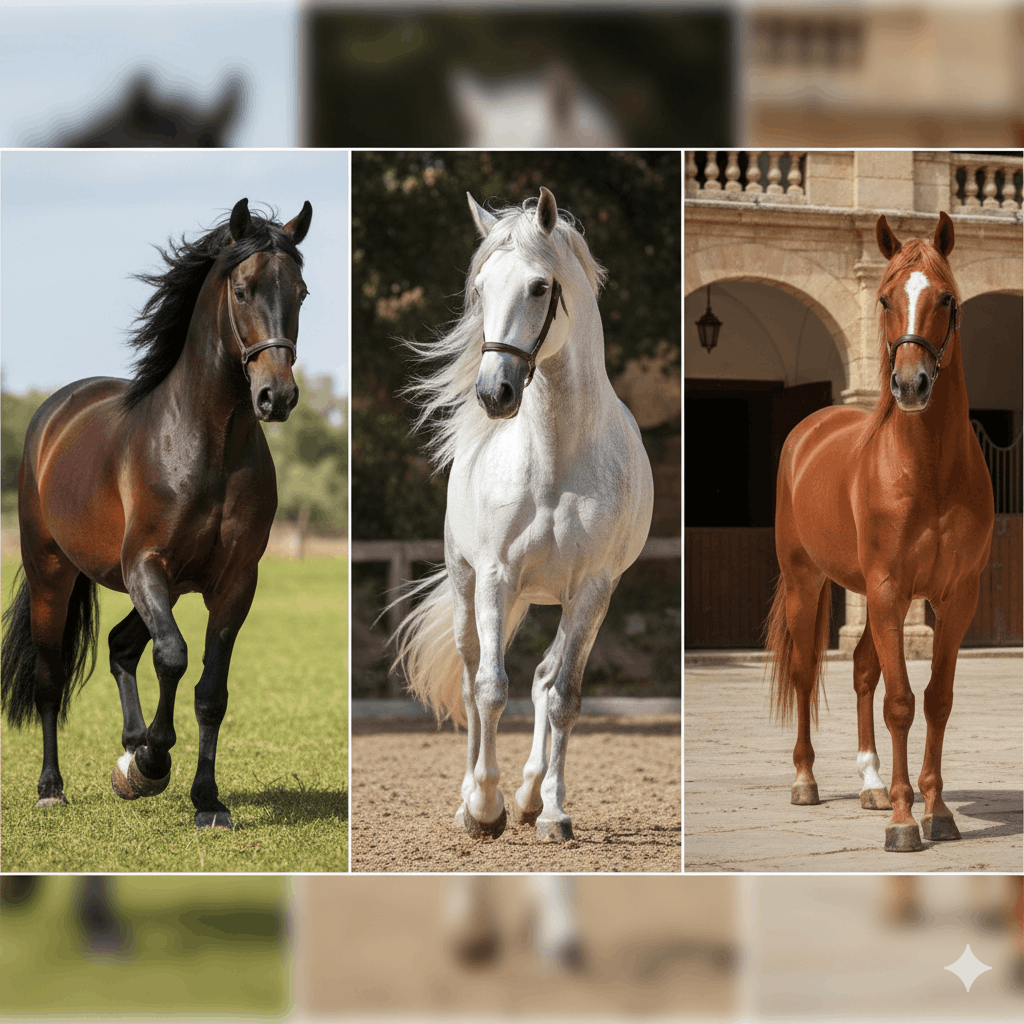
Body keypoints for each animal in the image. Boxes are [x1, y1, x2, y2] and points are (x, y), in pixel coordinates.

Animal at [1, 198, 312, 830]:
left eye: (301, 292)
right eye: (241, 290)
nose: (277, 397)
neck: (207, 445)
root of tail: (54, 414)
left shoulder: (233, 583)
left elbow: (210, 691)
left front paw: (205, 799)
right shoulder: (148, 565)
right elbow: (173, 656)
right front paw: (150, 761)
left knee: (121, 646)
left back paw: (130, 744)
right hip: (53, 575)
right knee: (50, 680)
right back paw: (53, 786)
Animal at [393, 187, 653, 842]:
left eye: (540, 287)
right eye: (481, 288)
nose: (494, 394)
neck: (556, 455)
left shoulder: (593, 590)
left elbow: (564, 697)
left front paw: (554, 811)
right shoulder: (495, 576)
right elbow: (489, 690)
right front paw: (485, 810)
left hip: (562, 599)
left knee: (543, 680)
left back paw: (533, 796)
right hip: (469, 587)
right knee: (470, 680)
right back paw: (471, 800)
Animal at [766, 211, 994, 852]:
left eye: (947, 299)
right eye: (886, 298)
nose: (911, 385)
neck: (929, 469)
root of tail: (811, 428)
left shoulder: (954, 597)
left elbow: (936, 700)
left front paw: (936, 810)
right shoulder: (891, 589)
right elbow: (900, 702)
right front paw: (902, 820)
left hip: (868, 594)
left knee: (863, 668)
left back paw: (869, 783)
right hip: (807, 581)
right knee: (807, 670)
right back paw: (806, 781)